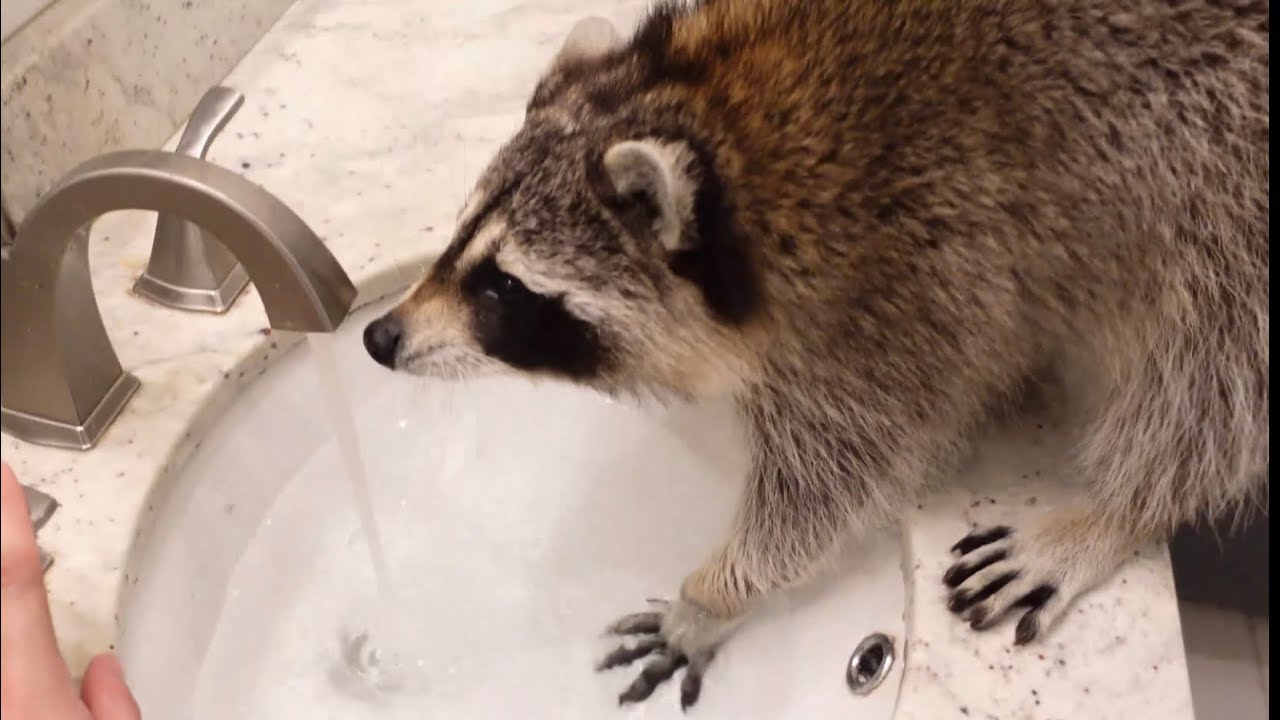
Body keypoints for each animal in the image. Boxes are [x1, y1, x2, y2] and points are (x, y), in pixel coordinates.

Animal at [364, 0, 1269, 708]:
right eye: (458, 240)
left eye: (503, 289)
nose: (378, 337)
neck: (715, 105)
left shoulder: (908, 279)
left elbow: (839, 474)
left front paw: (716, 591)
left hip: (1225, 168)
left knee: (1213, 363)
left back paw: (1119, 509)